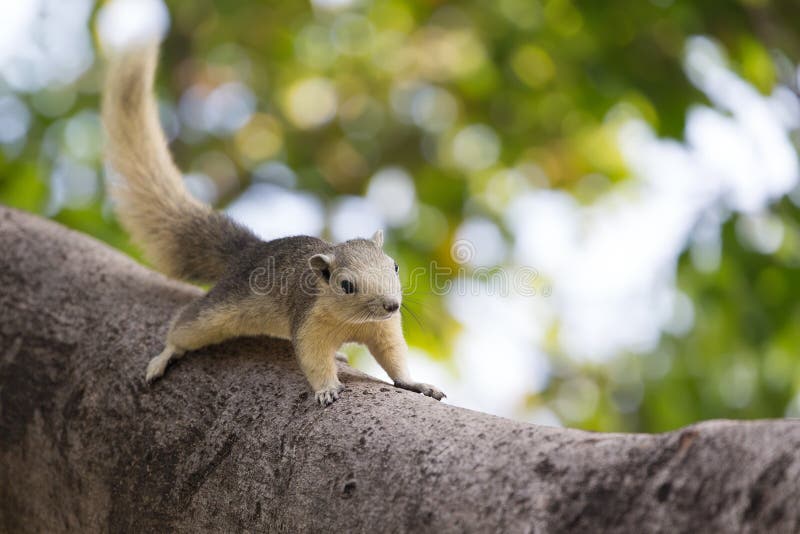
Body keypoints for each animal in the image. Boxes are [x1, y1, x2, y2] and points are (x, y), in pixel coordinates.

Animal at [101, 42, 445, 406]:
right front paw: (326, 389)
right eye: (346, 285)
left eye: (394, 266)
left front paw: (416, 383)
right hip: (221, 308)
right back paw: (165, 355)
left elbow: (394, 357)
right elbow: (313, 357)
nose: (392, 305)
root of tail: (251, 252)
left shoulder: (383, 328)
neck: (351, 318)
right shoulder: (308, 323)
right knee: (186, 326)